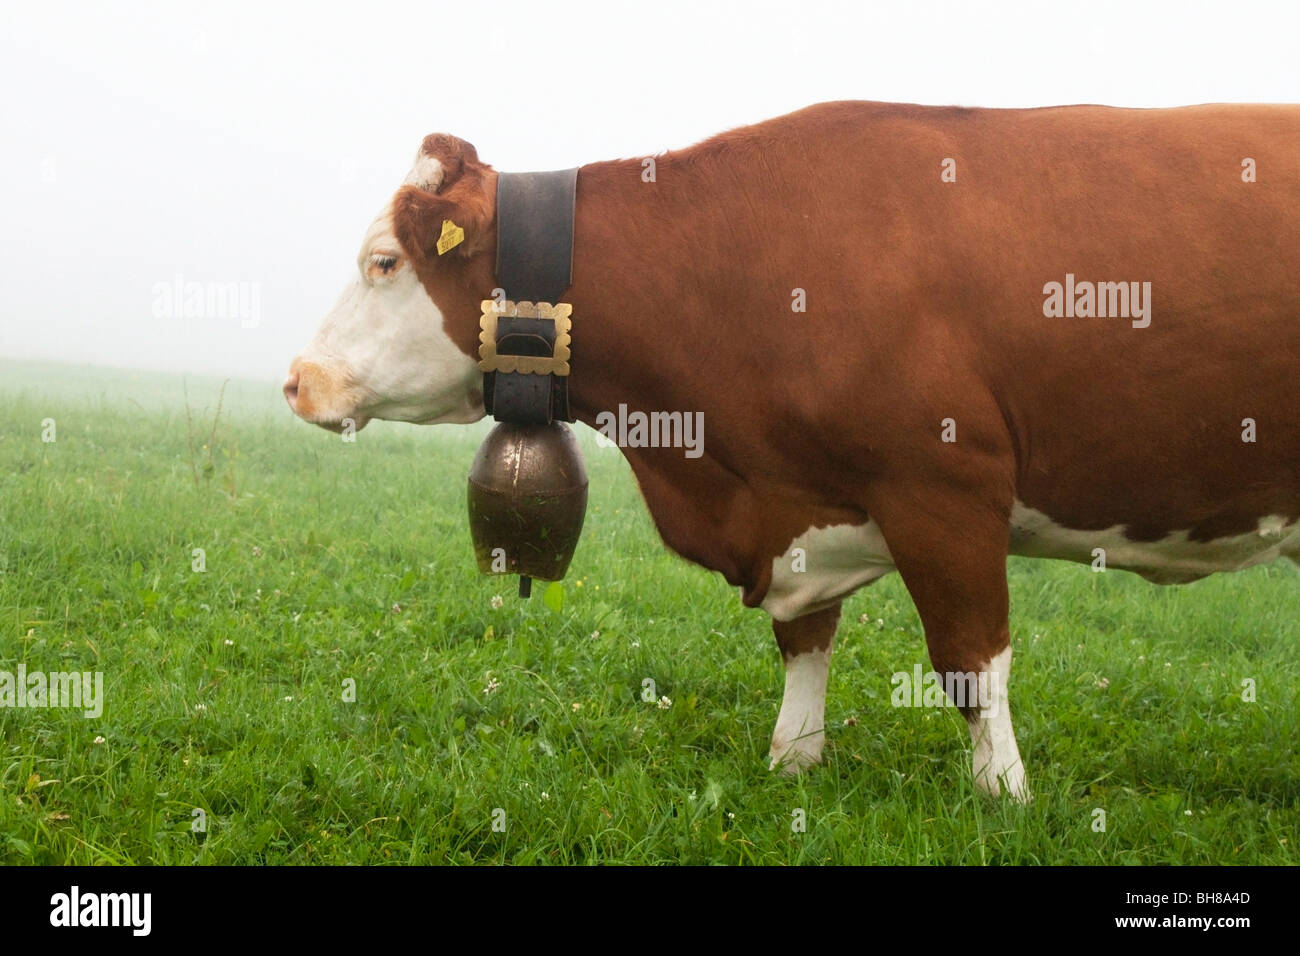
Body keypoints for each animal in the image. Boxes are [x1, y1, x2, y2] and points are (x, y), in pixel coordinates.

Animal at [285, 101, 1300, 801]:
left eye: (384, 262)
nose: (299, 379)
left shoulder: (945, 490)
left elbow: (972, 663)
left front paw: (1004, 797)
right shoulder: (802, 505)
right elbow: (804, 641)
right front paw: (794, 760)